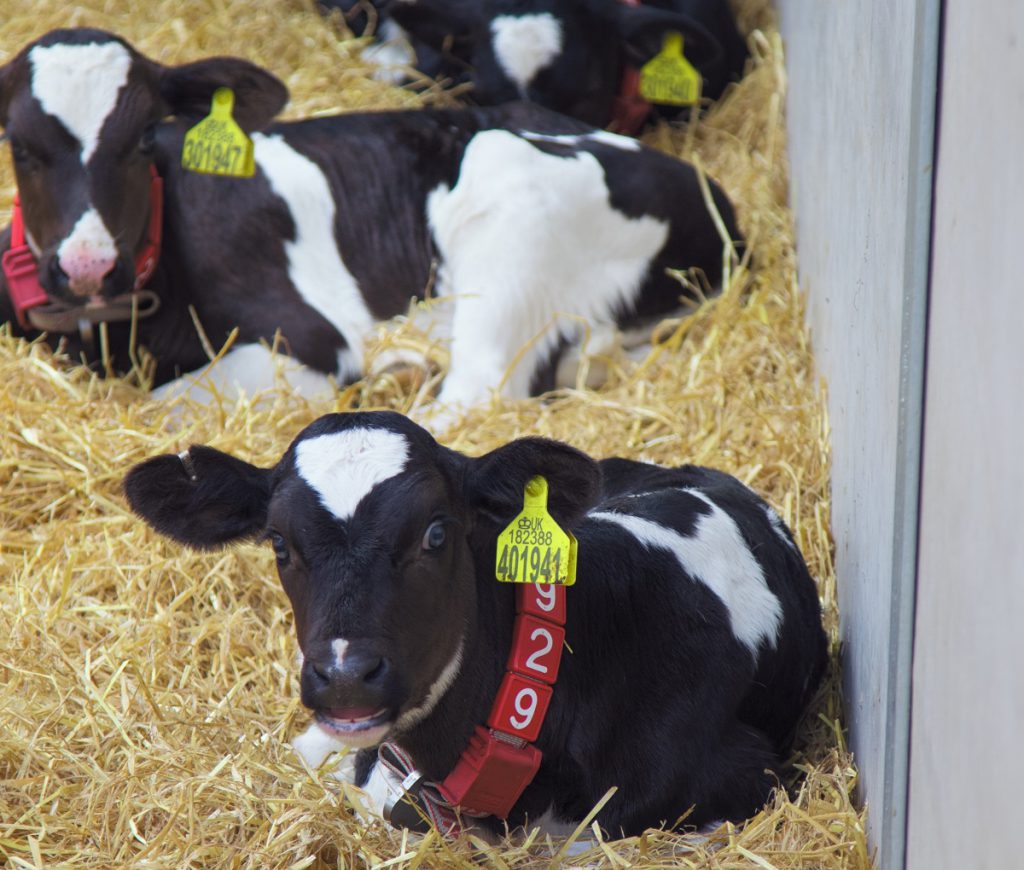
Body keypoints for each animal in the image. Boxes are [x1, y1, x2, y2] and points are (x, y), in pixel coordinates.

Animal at [0, 27, 741, 412]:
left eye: (144, 137)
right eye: (19, 143)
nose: (88, 266)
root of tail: (720, 208)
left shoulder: (305, 341)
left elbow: (165, 410)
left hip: (513, 226)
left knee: (474, 401)